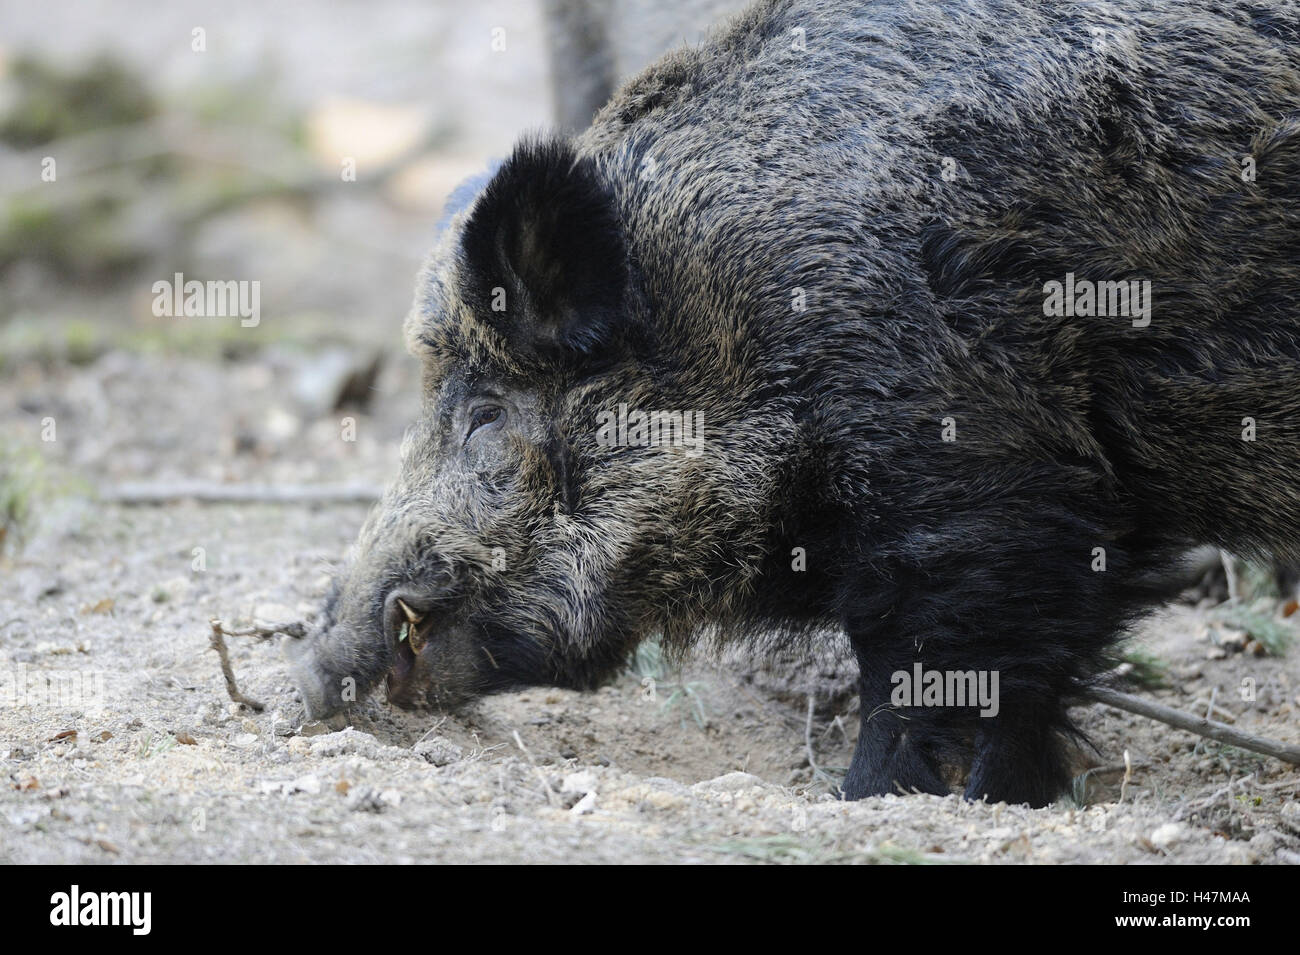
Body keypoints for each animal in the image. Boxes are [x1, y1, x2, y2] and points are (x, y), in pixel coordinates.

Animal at [288, 0, 1300, 806]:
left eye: (489, 408)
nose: (309, 675)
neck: (745, 317)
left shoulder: (984, 488)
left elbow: (928, 672)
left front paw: (878, 799)